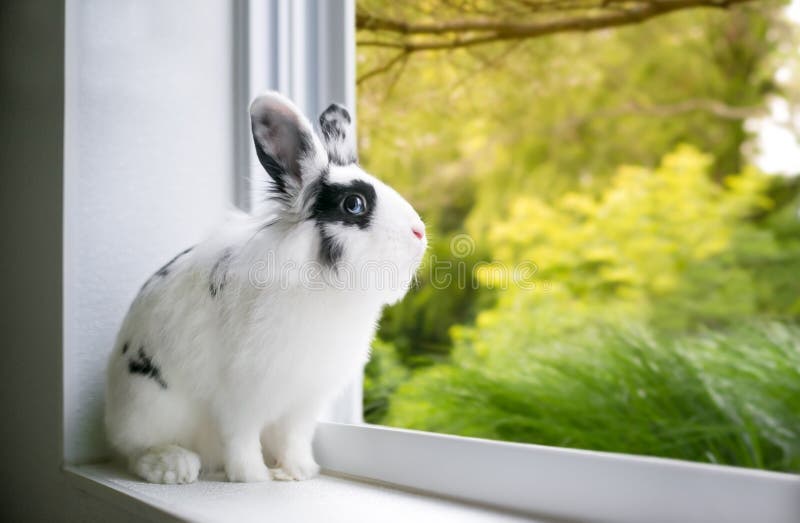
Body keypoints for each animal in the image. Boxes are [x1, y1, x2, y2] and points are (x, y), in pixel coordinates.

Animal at [104, 92, 427, 484]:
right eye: (354, 204)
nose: (419, 232)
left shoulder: (304, 399)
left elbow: (294, 437)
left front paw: (300, 472)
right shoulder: (241, 392)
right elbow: (241, 436)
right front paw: (251, 477)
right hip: (150, 404)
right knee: (134, 450)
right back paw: (175, 467)